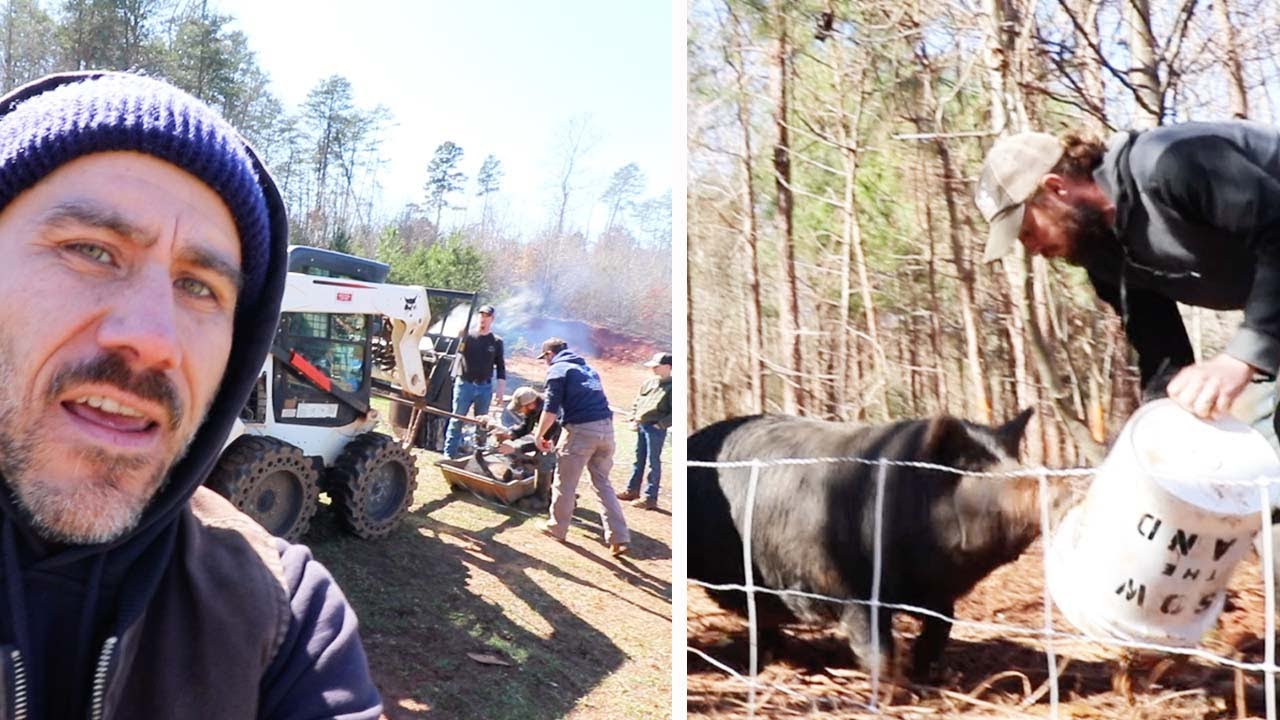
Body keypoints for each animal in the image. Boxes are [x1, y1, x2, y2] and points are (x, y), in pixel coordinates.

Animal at [688, 408, 1064, 678]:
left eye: (1013, 458)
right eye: (971, 467)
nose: (1048, 483)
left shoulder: (938, 595)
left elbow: (940, 628)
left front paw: (926, 676)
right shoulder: (851, 587)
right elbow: (875, 645)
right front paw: (890, 691)